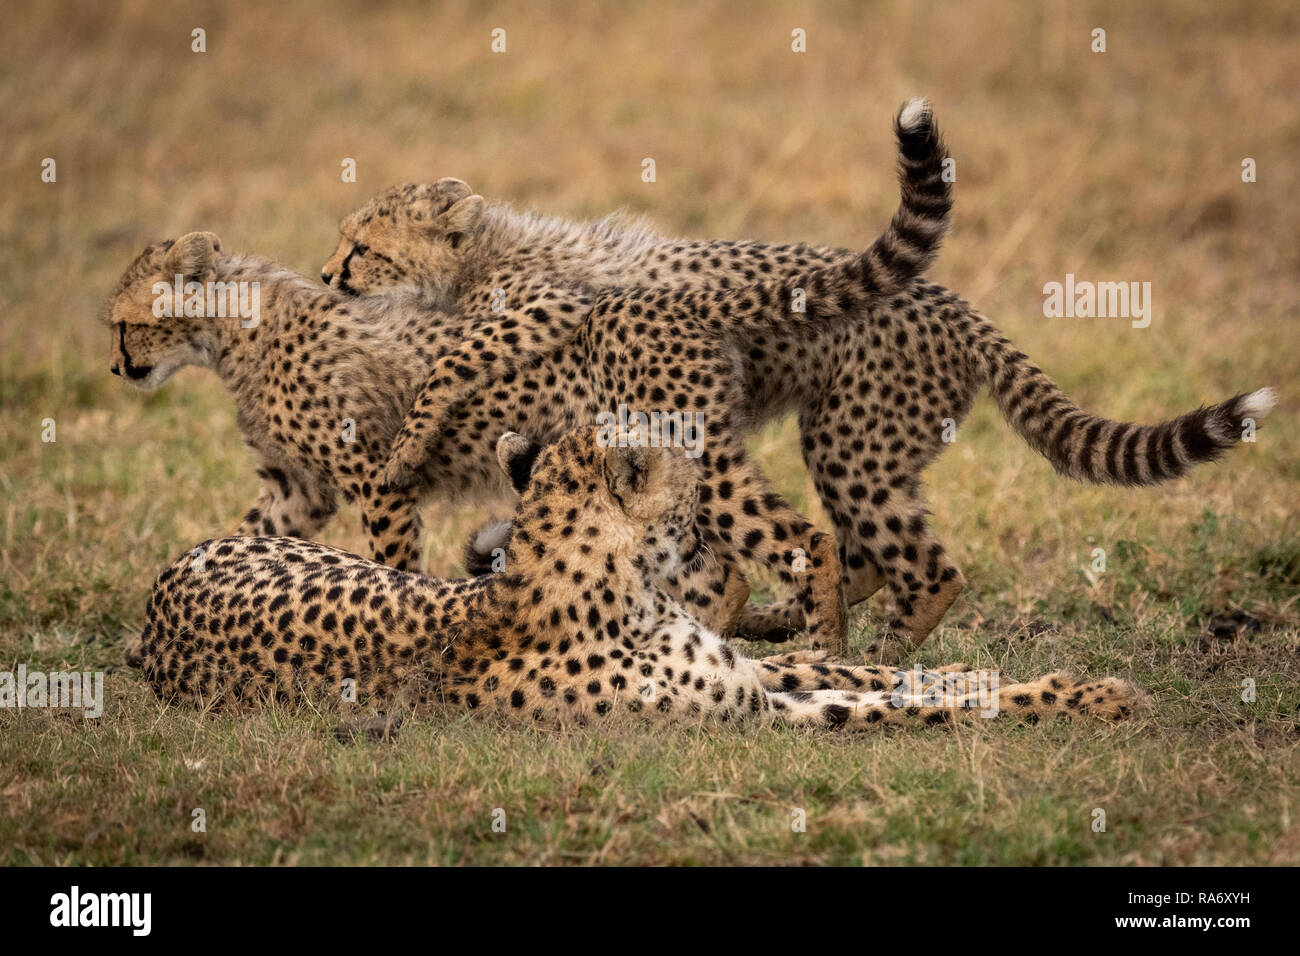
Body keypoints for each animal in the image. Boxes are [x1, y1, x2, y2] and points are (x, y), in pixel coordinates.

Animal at [137, 425, 1141, 732]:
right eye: (694, 478)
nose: (715, 487)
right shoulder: (754, 713)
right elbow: (891, 704)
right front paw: (1091, 698)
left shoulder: (749, 674)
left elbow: (874, 673)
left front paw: (986, 675)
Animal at [322, 99, 1277, 663]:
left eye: (361, 246)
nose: (329, 275)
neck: (487, 251)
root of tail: (957, 305)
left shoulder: (548, 308)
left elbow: (453, 363)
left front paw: (407, 447)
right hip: (846, 444)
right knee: (861, 555)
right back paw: (799, 630)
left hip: (813, 441)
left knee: (889, 559)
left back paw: (857, 655)